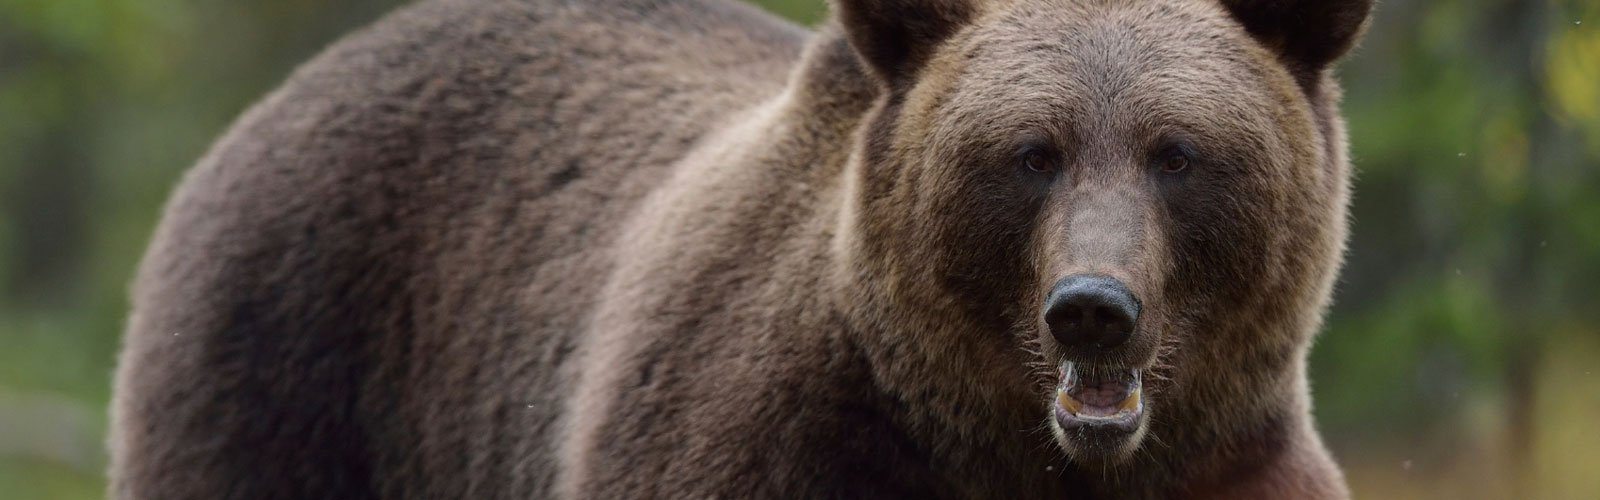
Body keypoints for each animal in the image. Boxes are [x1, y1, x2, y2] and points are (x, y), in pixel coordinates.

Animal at [110, 0, 1372, 498]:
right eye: (1030, 151)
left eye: (1176, 151)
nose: (1092, 304)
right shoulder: (759, 435)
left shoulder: (1227, 466)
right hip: (288, 363)